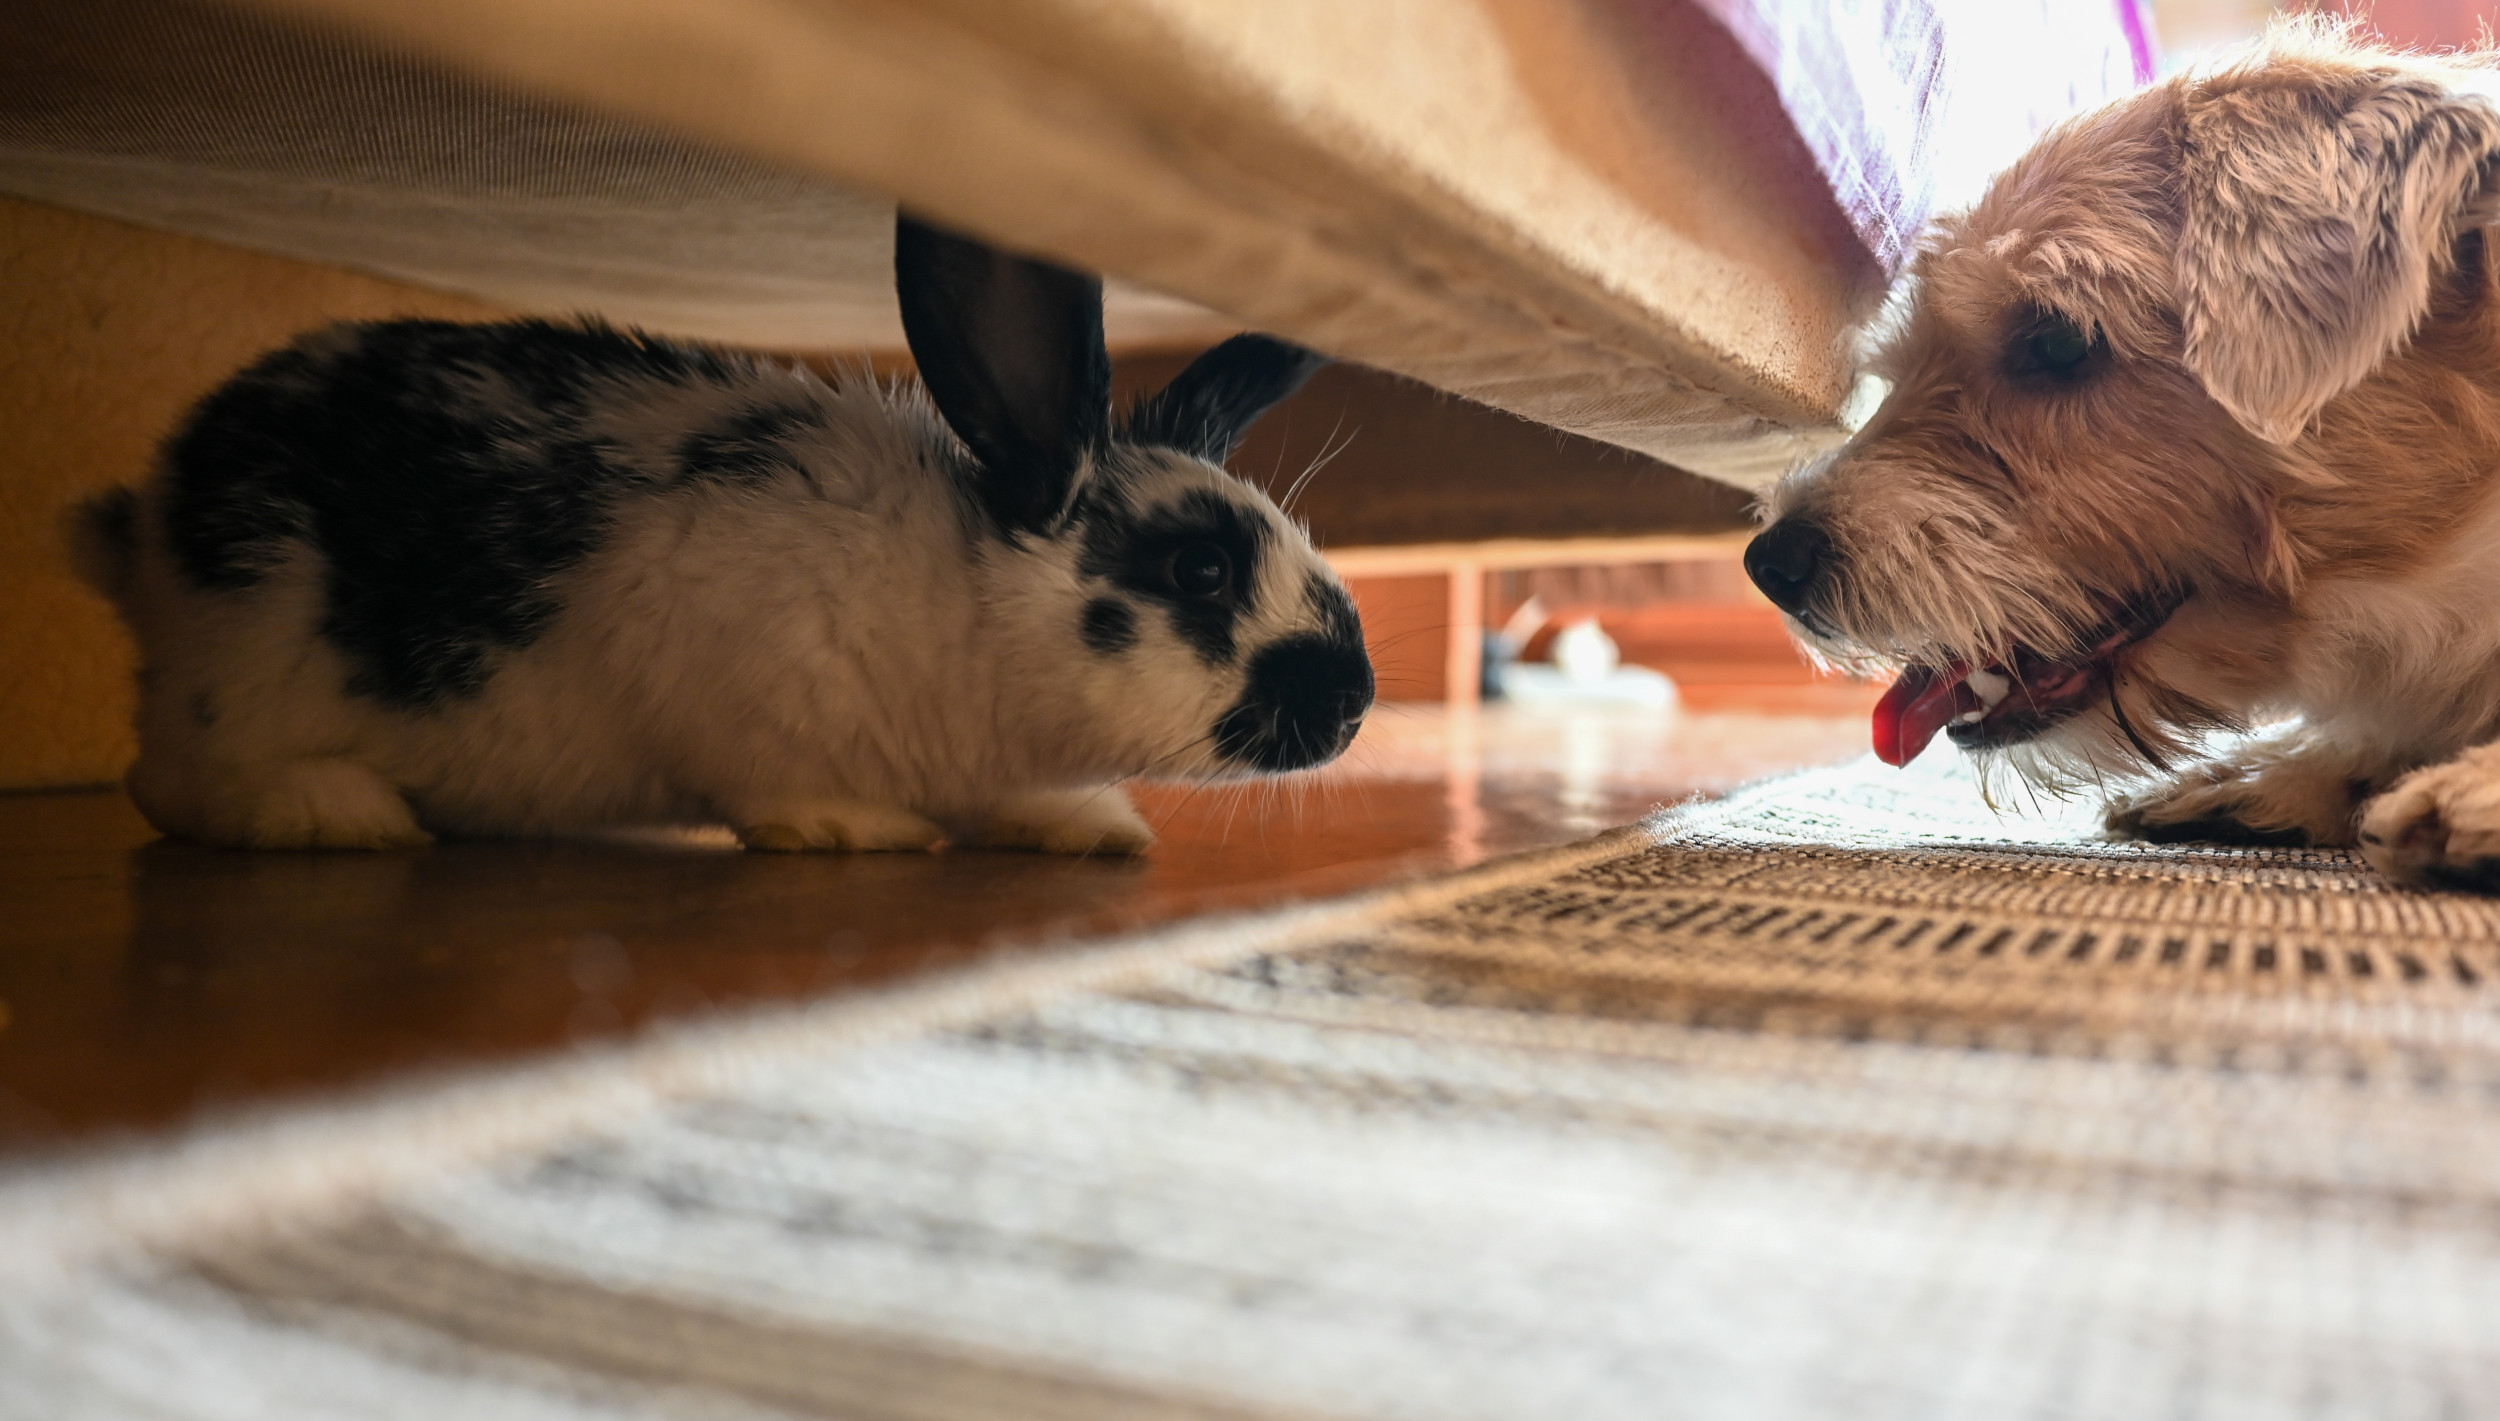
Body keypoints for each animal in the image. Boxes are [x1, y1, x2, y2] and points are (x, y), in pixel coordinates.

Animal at [65, 215, 1375, 853]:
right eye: (1199, 567)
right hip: (254, 654)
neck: (959, 612)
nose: (1357, 700)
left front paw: (1094, 829)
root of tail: (145, 529)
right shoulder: (733, 672)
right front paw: (855, 829)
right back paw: (334, 816)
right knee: (169, 781)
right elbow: (780, 786)